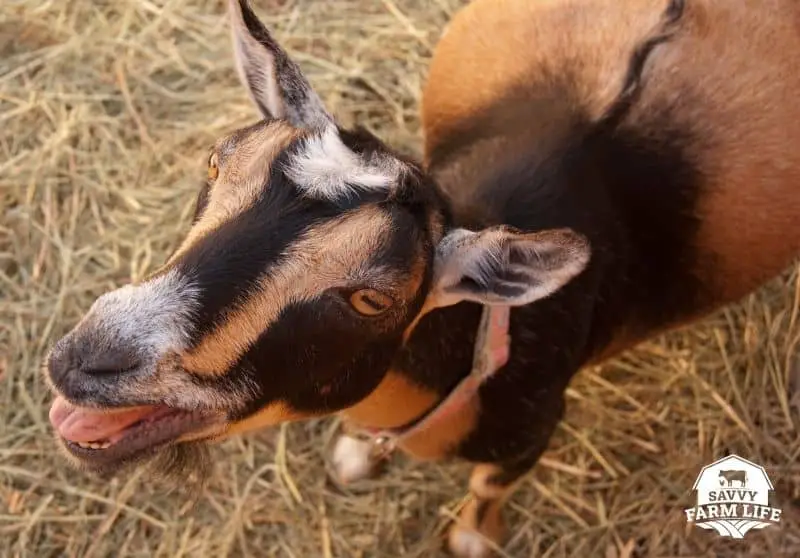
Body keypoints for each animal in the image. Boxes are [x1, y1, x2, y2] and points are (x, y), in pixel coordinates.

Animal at [44, 0, 800, 555]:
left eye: (372, 298)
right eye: (216, 162)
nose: (87, 361)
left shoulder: (533, 428)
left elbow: (489, 490)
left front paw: (472, 538)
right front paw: (355, 456)